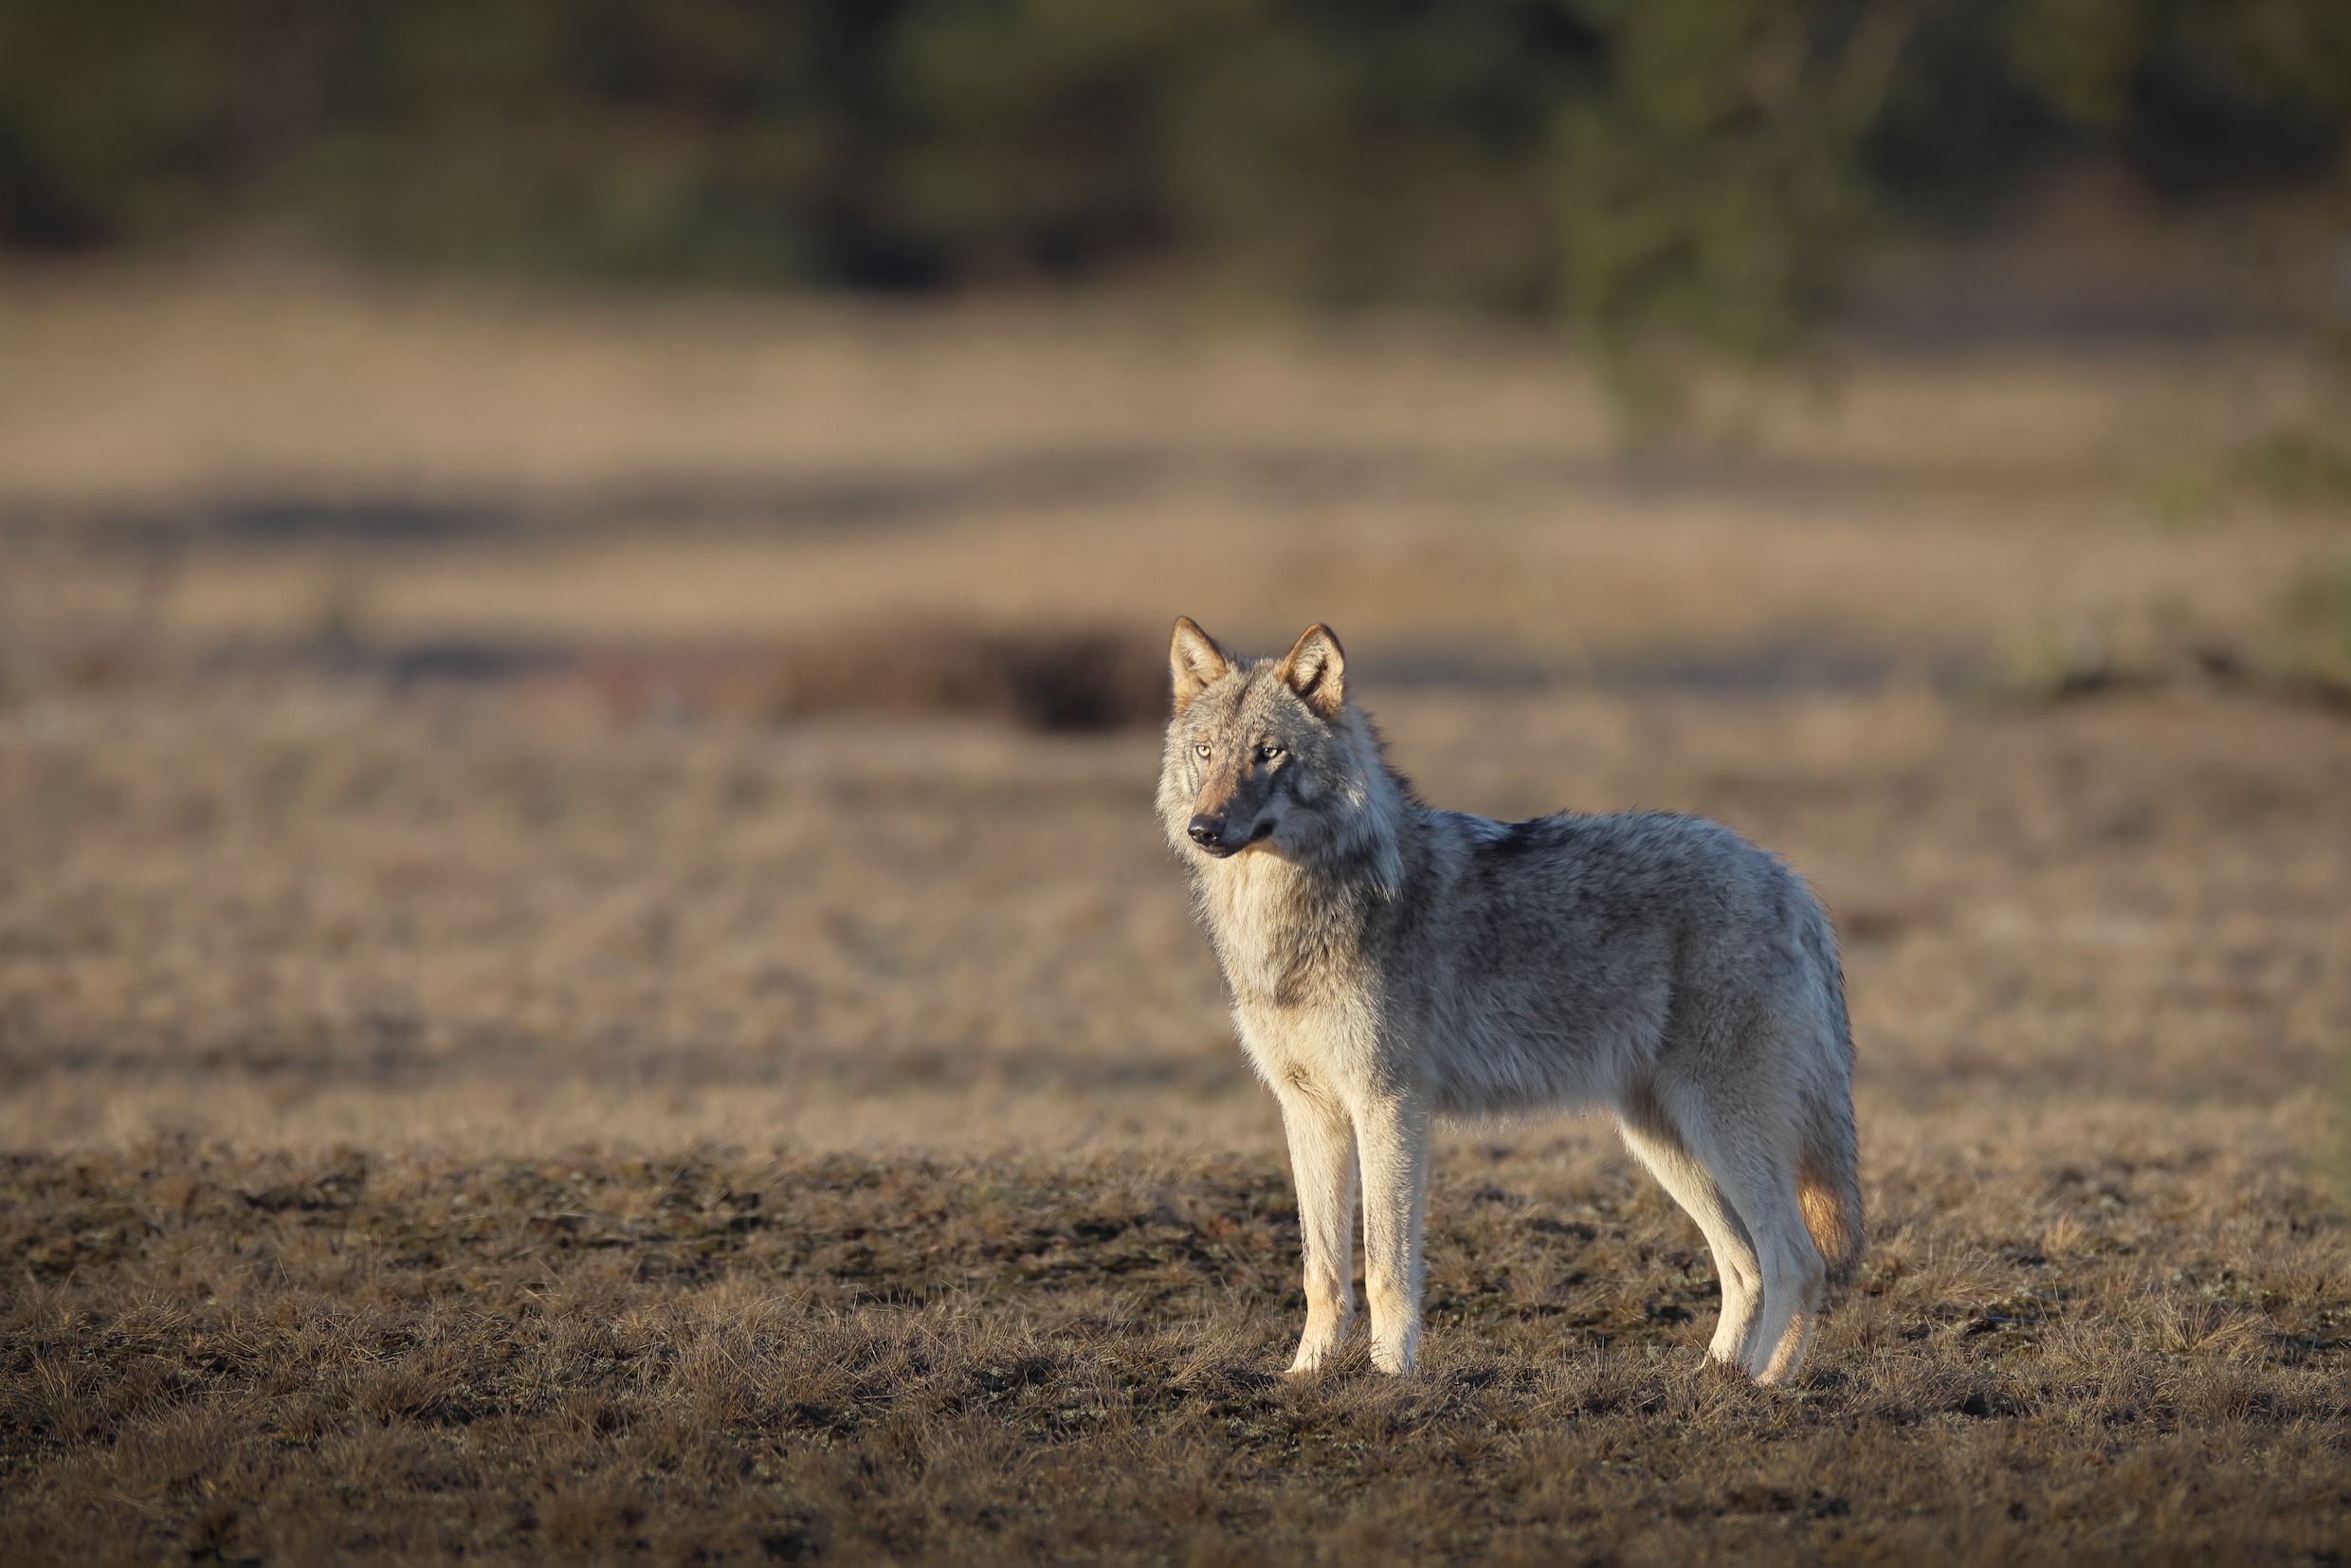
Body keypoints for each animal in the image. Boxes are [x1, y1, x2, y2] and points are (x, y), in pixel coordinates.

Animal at [1158, 618, 1862, 1384]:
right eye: (1206, 751)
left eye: (1269, 752)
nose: (1204, 829)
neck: (1287, 917)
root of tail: (1788, 879)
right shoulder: (1308, 1110)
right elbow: (1322, 1271)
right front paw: (1306, 1376)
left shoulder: (1389, 1106)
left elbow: (1385, 1267)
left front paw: (1389, 1378)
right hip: (1667, 1141)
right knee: (1744, 1267)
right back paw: (1712, 1379)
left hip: (1717, 1128)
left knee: (1797, 1261)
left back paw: (1765, 1388)